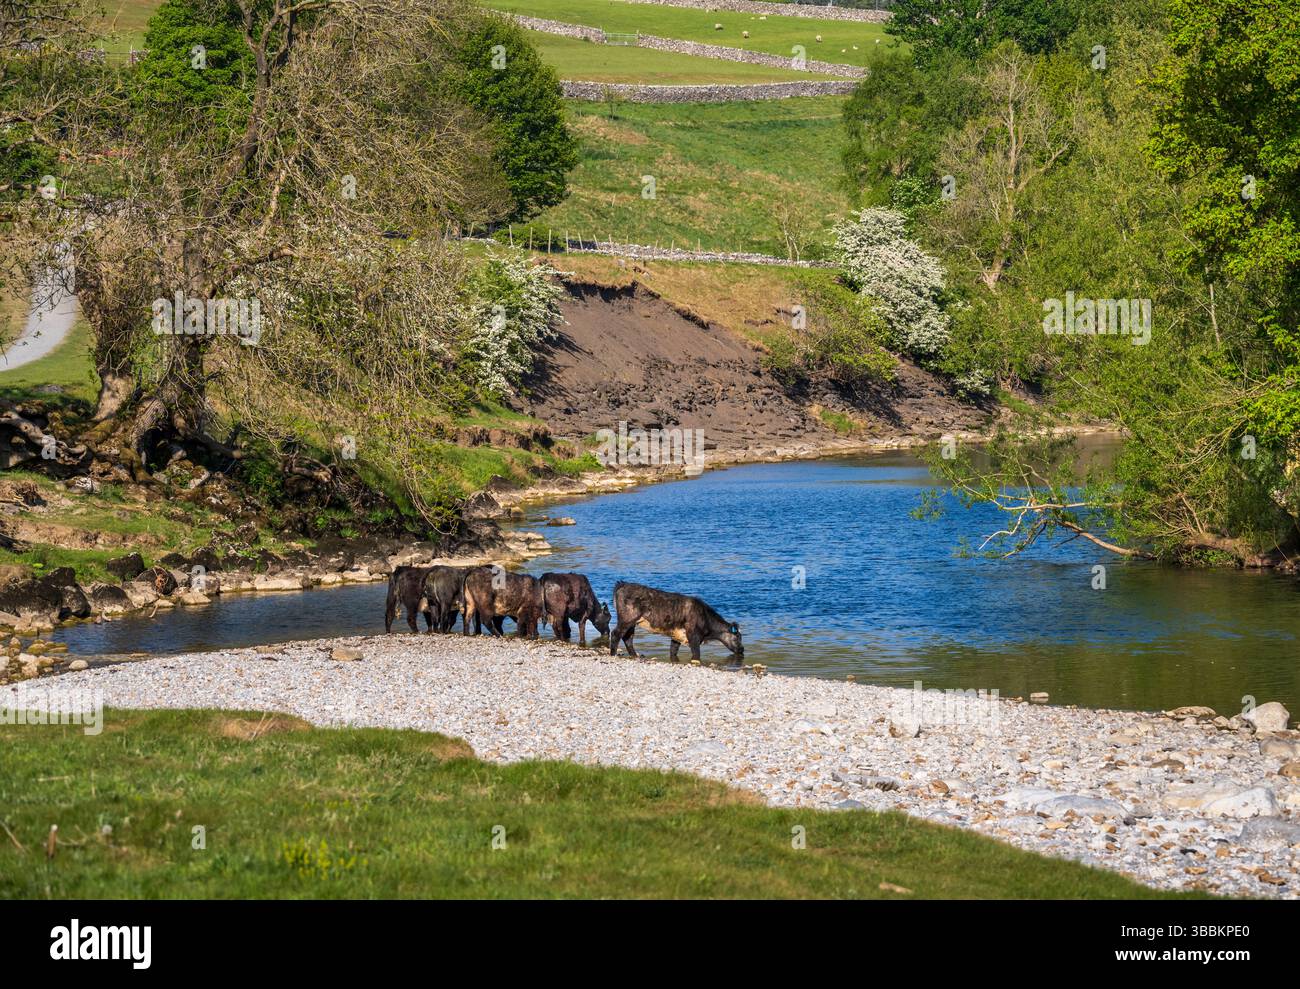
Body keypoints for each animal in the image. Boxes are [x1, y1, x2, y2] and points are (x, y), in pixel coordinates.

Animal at [609, 581, 743, 663]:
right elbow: (696, 654)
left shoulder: (676, 636)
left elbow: (673, 652)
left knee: (628, 637)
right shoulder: (693, 636)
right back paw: (613, 654)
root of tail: (622, 584)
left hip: (632, 623)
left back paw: (634, 655)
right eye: (737, 637)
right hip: (627, 619)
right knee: (616, 634)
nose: (742, 650)